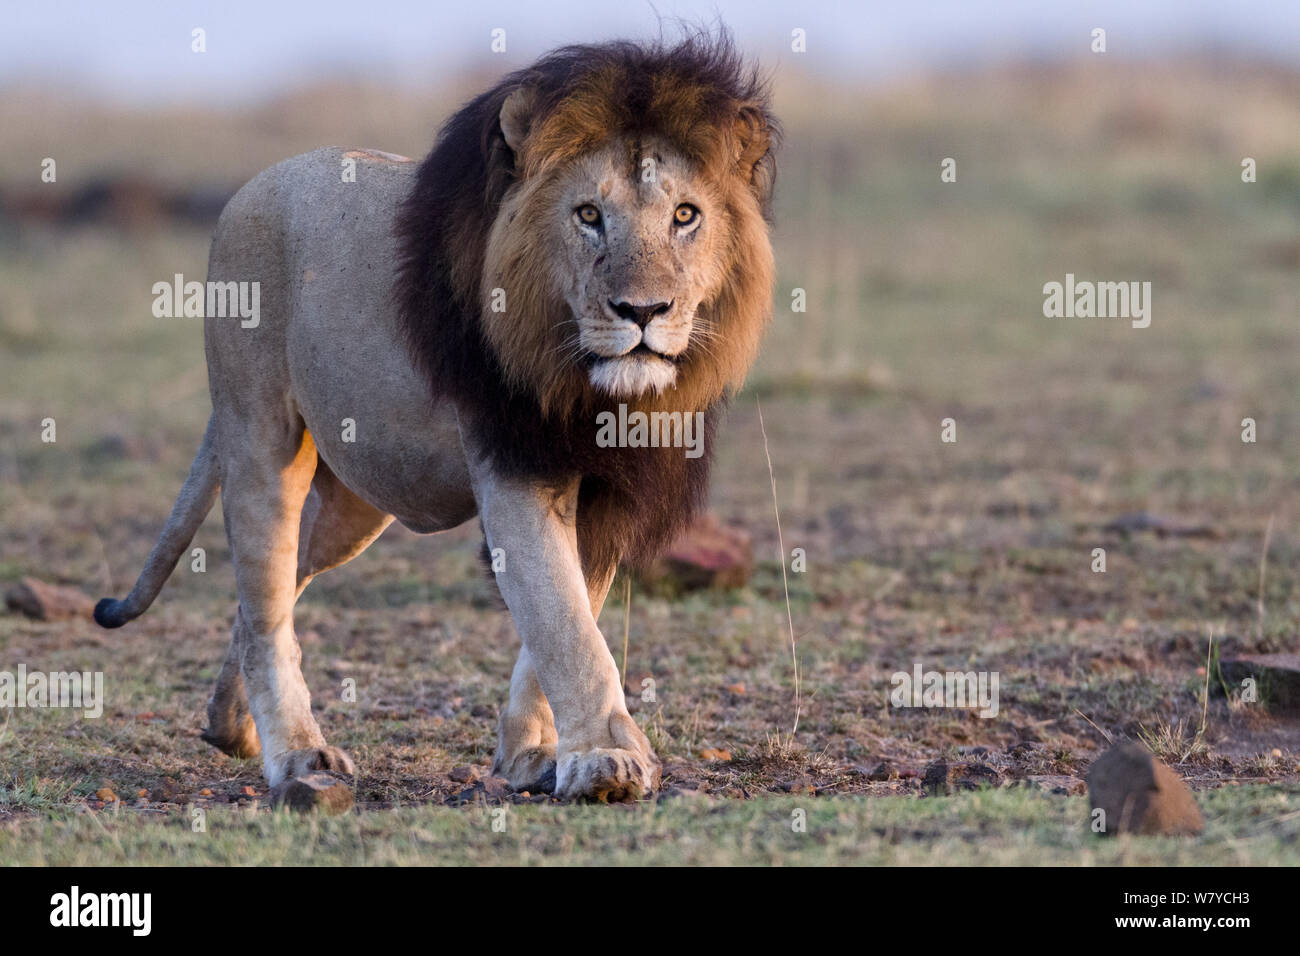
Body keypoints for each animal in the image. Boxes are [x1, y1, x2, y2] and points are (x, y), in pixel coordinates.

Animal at [93, 33, 777, 804]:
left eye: (686, 216)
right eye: (588, 215)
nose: (643, 310)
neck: (588, 386)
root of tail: (253, 184)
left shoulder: (607, 485)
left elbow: (569, 614)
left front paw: (531, 755)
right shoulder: (514, 464)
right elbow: (566, 623)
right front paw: (606, 760)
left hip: (355, 504)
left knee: (272, 588)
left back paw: (229, 723)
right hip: (259, 436)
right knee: (266, 602)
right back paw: (297, 755)